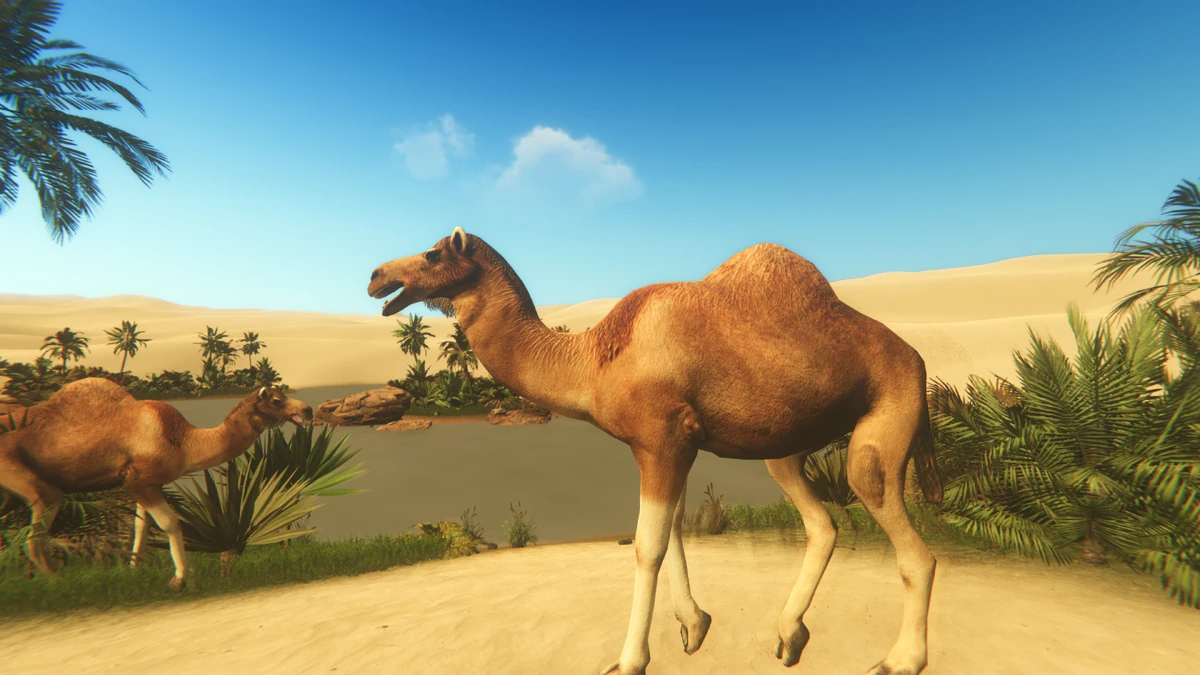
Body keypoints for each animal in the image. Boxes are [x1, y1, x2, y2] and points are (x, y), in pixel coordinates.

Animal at [0, 378, 313, 589]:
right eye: (276, 400)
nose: (308, 409)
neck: (186, 442)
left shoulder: (148, 484)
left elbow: (141, 526)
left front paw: (133, 571)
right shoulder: (138, 479)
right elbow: (170, 523)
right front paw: (180, 578)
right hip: (26, 477)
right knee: (36, 529)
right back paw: (58, 581)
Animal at [367, 227, 944, 675]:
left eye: (432, 254)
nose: (376, 276)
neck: (593, 359)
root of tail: (918, 359)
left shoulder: (661, 440)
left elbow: (648, 546)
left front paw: (629, 660)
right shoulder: (679, 442)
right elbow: (676, 531)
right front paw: (694, 626)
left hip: (885, 420)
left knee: (906, 540)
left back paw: (900, 660)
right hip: (784, 448)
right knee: (822, 524)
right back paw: (789, 636)